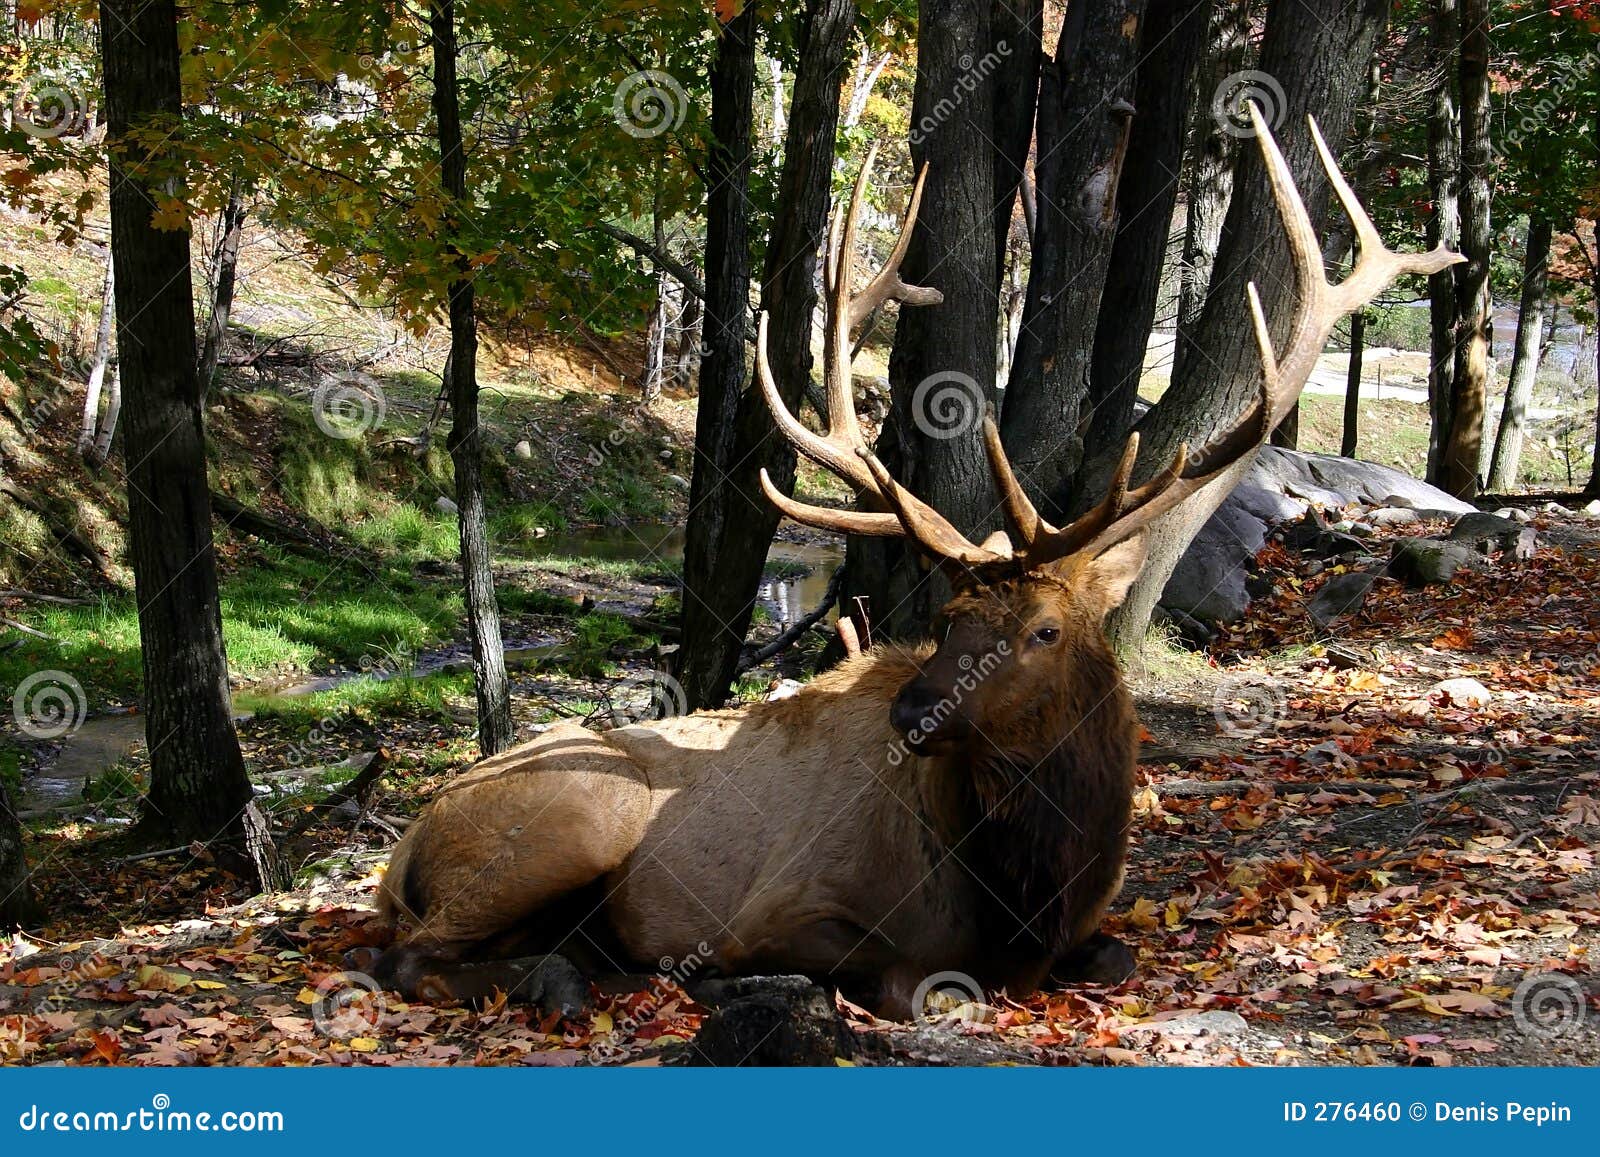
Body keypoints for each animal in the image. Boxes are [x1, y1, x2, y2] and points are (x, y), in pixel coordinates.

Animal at [370, 106, 1460, 1020]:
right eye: (945, 620)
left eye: (1044, 627)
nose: (914, 712)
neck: (1027, 893)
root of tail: (406, 842)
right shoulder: (777, 909)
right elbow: (917, 980)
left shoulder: (1090, 925)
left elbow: (1110, 954)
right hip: (577, 817)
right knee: (408, 954)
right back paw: (558, 978)